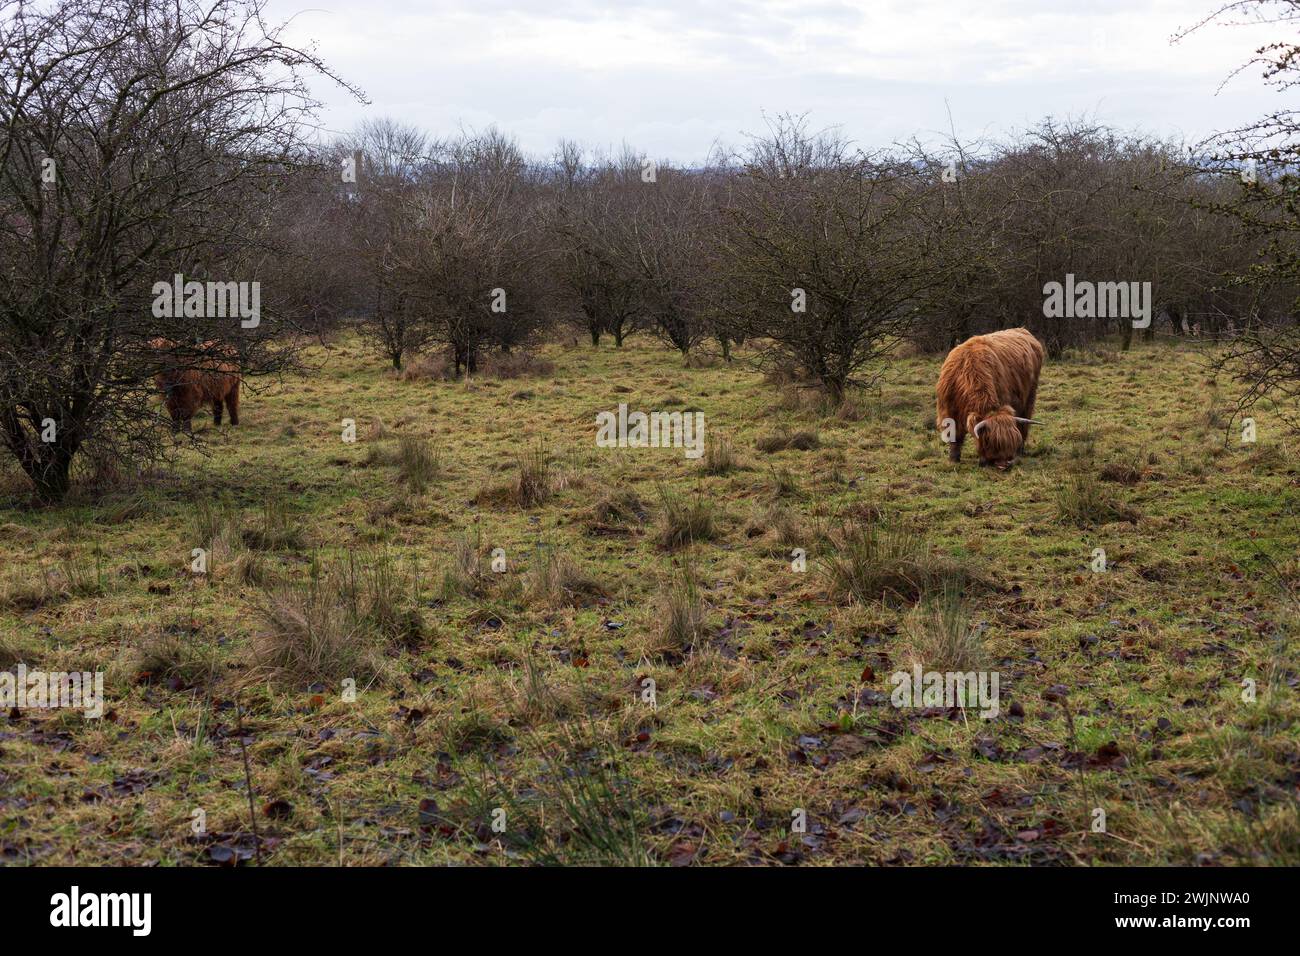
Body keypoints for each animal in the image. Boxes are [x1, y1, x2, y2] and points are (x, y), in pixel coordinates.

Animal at [935, 327, 1044, 470]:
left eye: (1011, 442)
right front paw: (954, 459)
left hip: (1030, 395)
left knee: (1024, 423)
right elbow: (955, 435)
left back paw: (1021, 450)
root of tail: (1022, 330)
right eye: (989, 441)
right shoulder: (948, 410)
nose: (1005, 464)